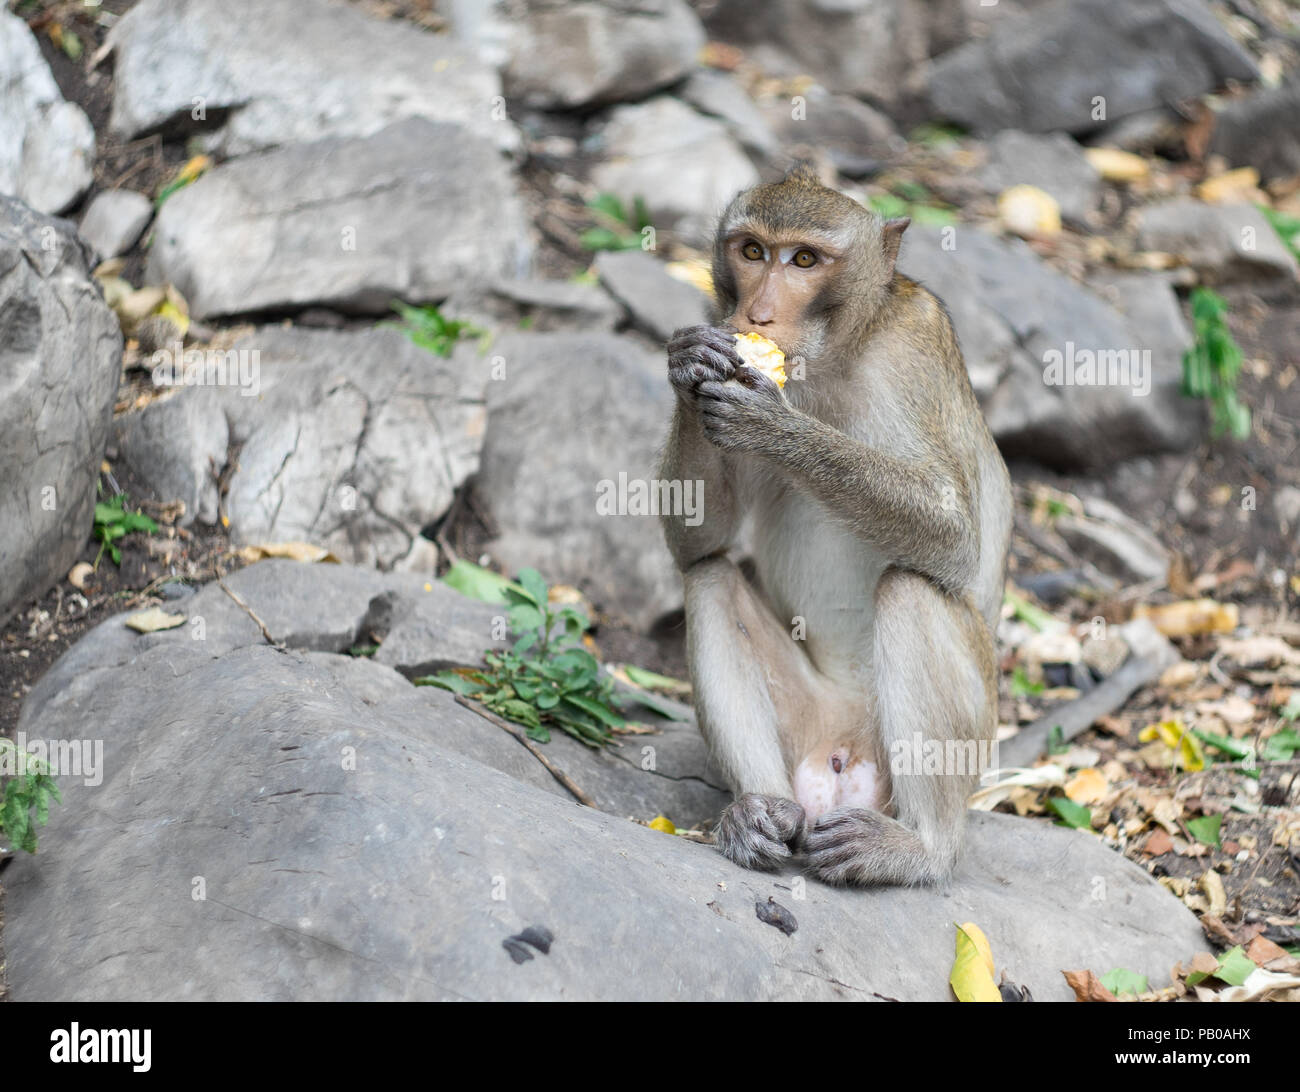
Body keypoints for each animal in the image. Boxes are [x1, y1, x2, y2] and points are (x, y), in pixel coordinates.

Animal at [659, 163, 1011, 887]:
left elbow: (955, 535)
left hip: (963, 744)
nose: (758, 315)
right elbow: (697, 544)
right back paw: (760, 812)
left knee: (911, 588)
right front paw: (689, 364)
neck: (836, 354)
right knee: (709, 579)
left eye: (804, 261)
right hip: (809, 727)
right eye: (753, 251)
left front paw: (773, 425)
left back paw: (921, 849)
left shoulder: (916, 345)